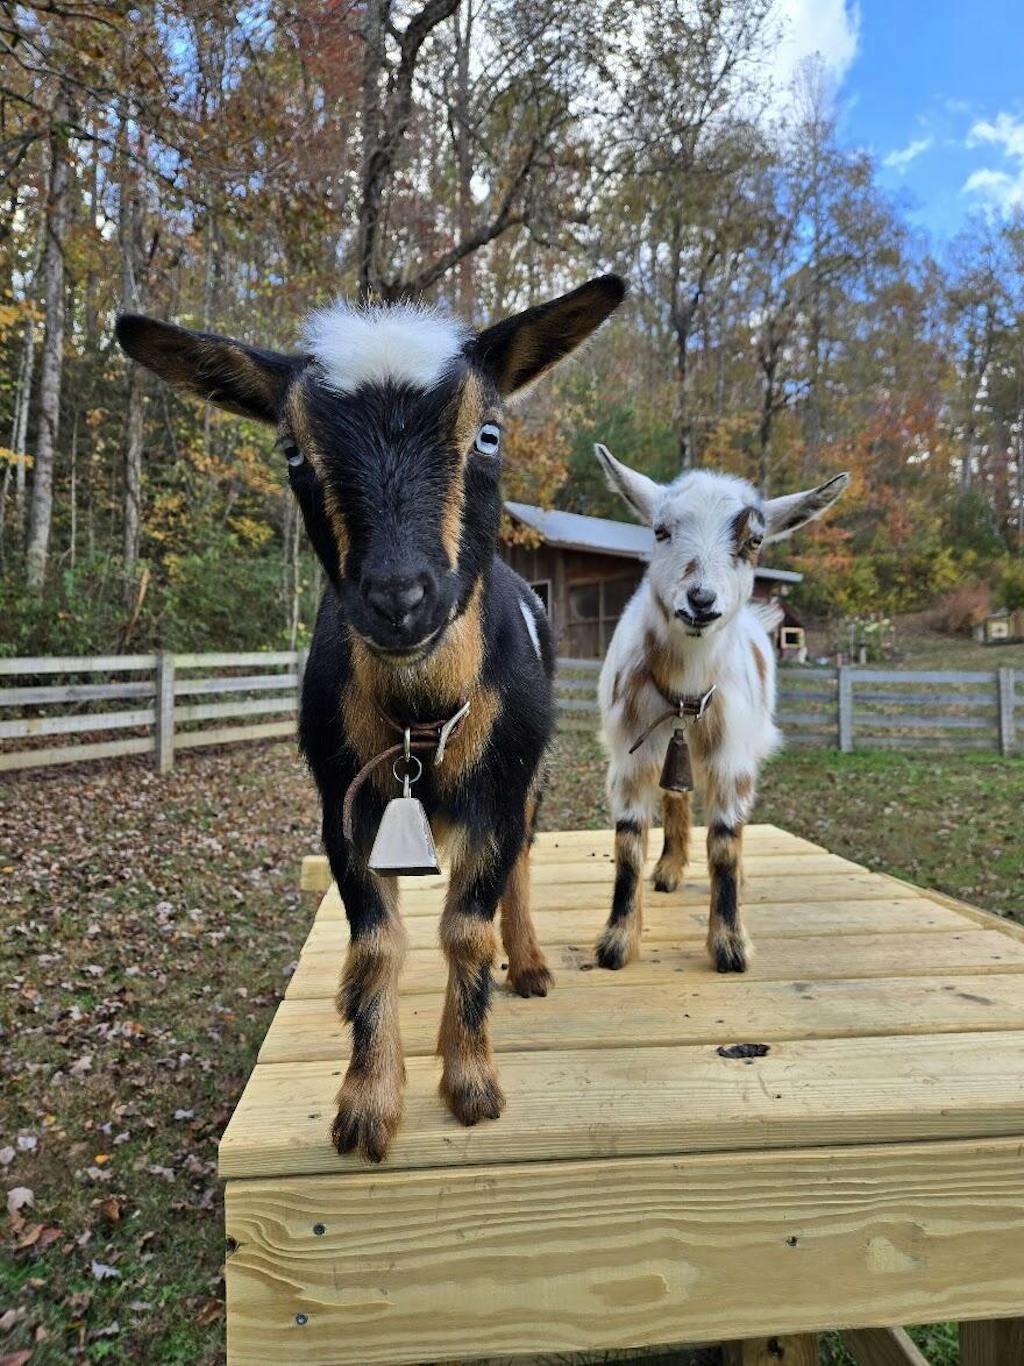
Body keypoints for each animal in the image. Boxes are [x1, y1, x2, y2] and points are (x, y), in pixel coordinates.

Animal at [116, 276, 625, 1162]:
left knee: (523, 861)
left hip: (530, 777)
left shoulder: (499, 793)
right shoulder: (342, 805)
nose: (398, 597)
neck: (422, 715)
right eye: (292, 450)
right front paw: (366, 1101)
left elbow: (466, 928)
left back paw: (526, 964)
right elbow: (377, 941)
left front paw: (470, 1079)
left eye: (489, 433)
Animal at [592, 444, 848, 975]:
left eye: (755, 540)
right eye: (660, 530)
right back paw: (668, 869)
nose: (701, 600)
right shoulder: (629, 755)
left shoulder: (732, 755)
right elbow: (628, 842)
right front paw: (618, 940)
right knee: (676, 795)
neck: (686, 692)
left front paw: (730, 944)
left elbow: (725, 842)